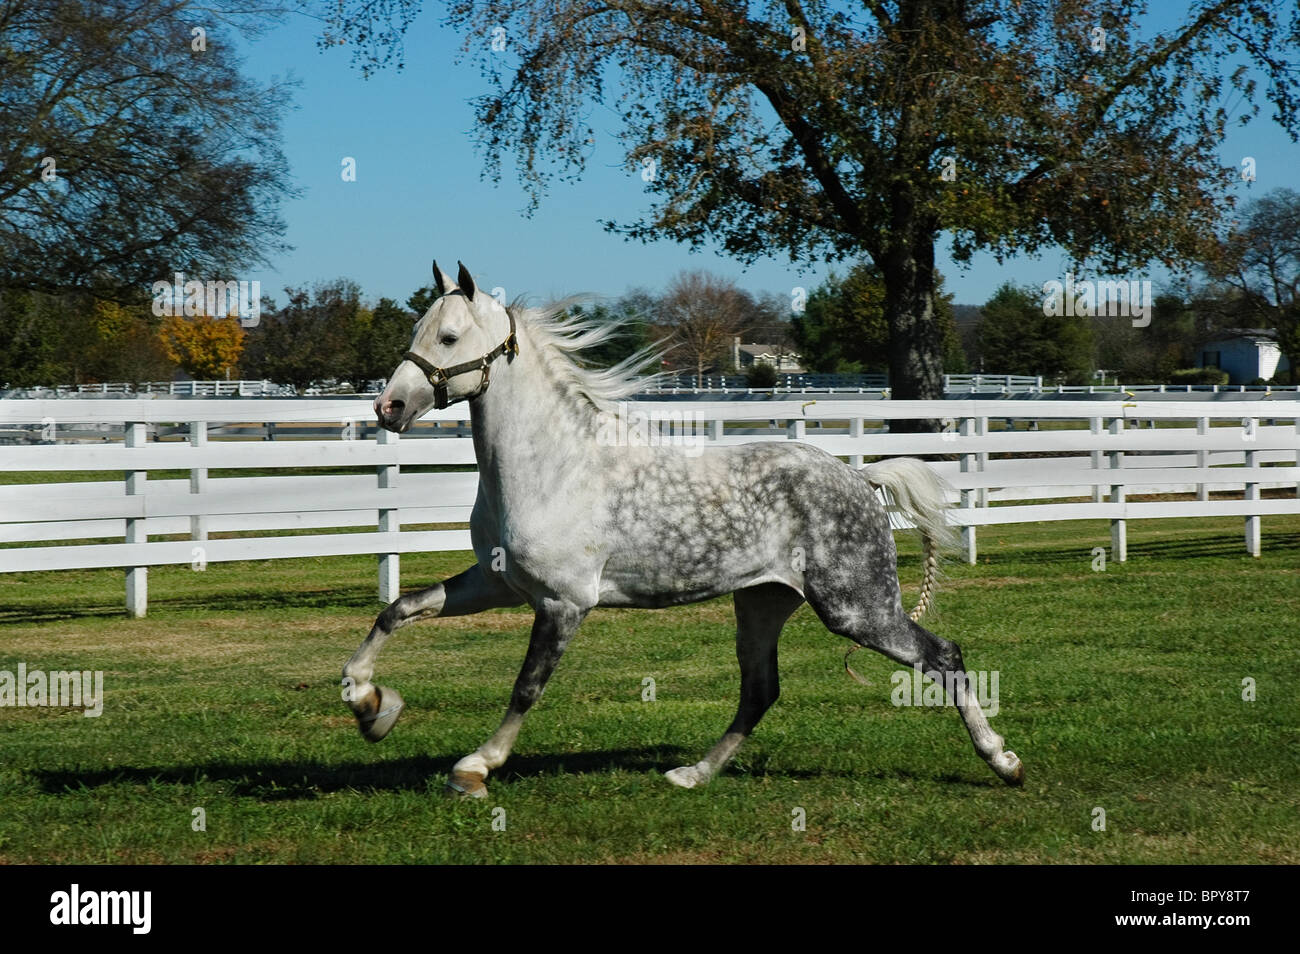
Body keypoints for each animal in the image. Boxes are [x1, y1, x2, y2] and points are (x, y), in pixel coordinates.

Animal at [340, 261, 1023, 797]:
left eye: (449, 335)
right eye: (417, 331)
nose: (388, 407)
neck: (552, 467)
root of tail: (859, 477)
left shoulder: (564, 602)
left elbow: (526, 688)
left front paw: (475, 769)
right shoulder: (499, 583)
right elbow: (398, 610)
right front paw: (370, 705)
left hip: (856, 608)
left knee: (943, 656)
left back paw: (1004, 762)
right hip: (764, 602)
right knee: (760, 691)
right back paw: (692, 774)